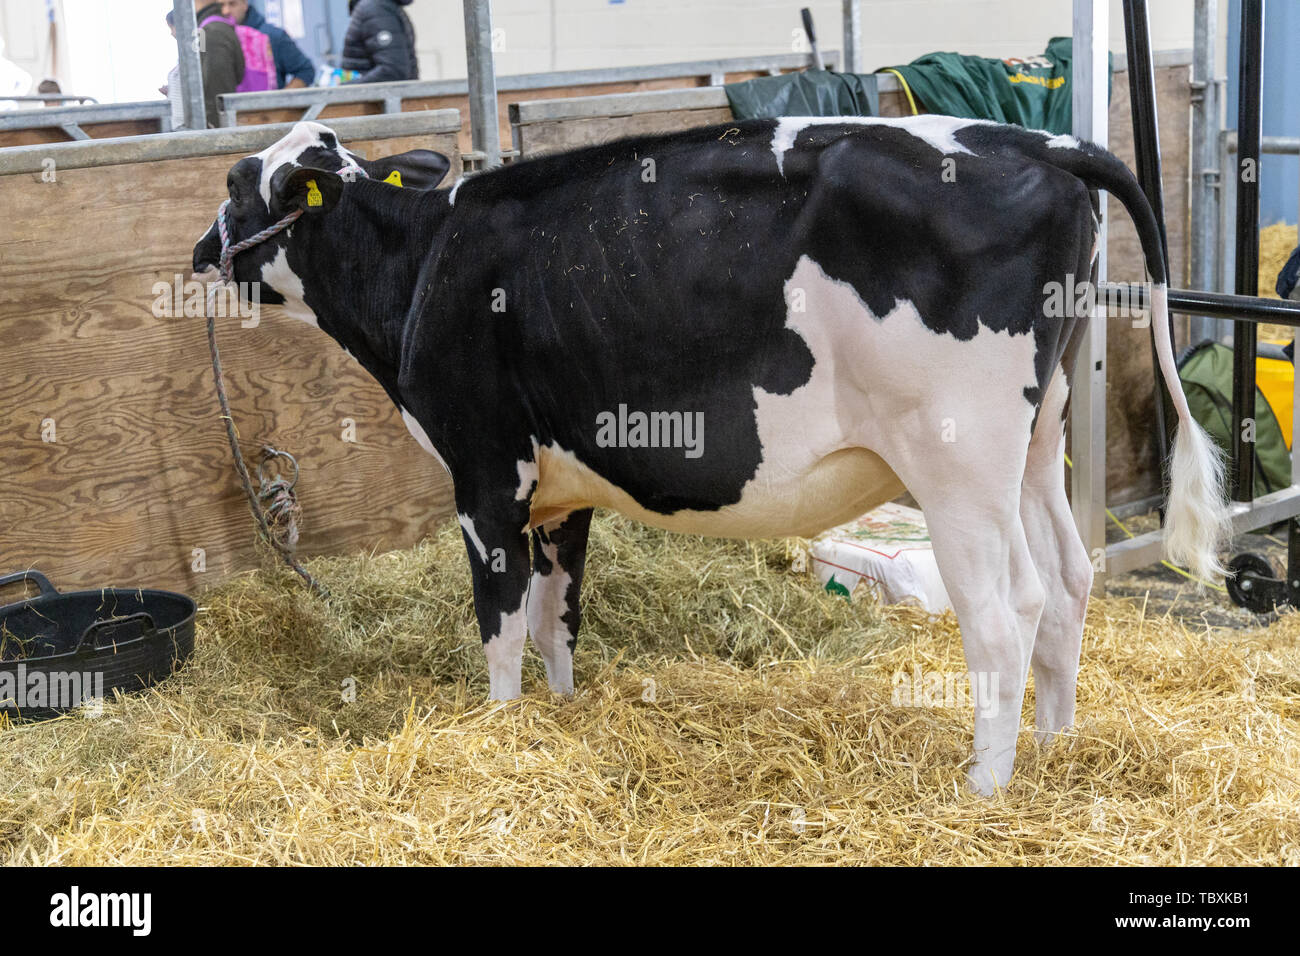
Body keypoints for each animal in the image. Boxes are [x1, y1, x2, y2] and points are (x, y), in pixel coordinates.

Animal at [192, 118, 1228, 794]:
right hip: (1037, 442)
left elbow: (501, 630)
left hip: (959, 462)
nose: (202, 250)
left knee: (1007, 613)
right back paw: (1055, 753)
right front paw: (561, 717)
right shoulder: (564, 492)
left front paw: (502, 729)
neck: (423, 264)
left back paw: (986, 787)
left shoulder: (486, 480)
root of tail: (1042, 144)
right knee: (1068, 582)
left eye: (239, 183)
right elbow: (557, 622)